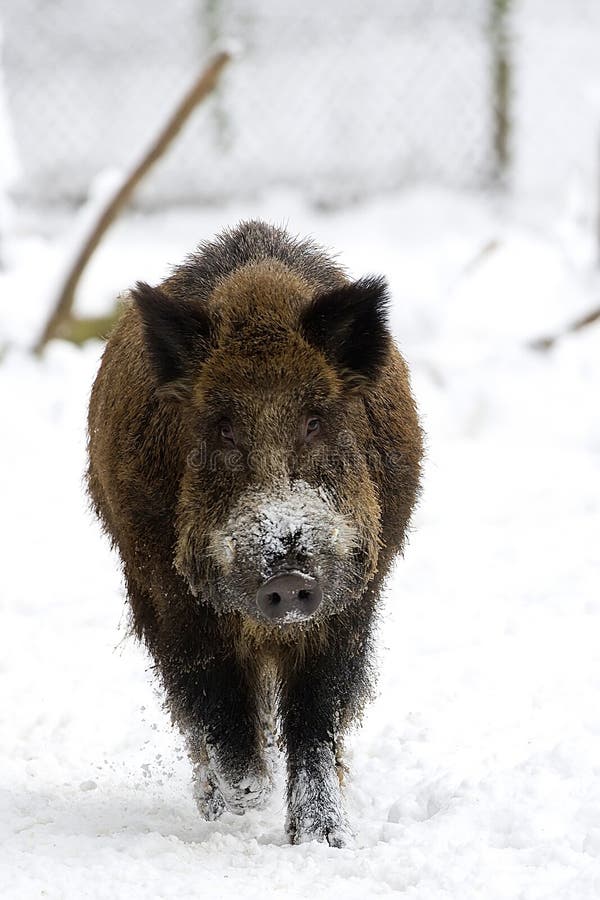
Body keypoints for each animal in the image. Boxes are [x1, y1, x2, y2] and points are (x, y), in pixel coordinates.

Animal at [87, 220, 423, 846]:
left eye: (315, 420)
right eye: (222, 427)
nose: (286, 575)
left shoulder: (351, 601)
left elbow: (316, 716)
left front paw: (322, 841)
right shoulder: (175, 599)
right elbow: (213, 698)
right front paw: (247, 798)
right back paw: (217, 804)